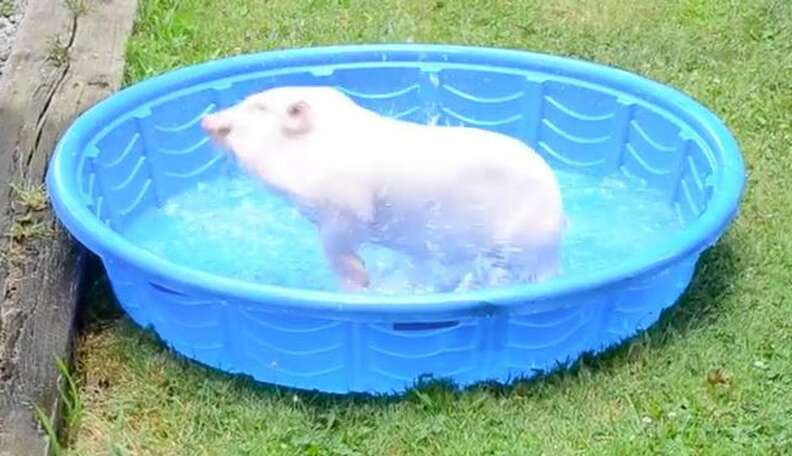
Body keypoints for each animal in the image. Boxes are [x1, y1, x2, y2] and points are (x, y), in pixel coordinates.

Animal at [200, 86, 565, 292]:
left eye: (259, 108)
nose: (205, 120)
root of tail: (559, 218)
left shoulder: (348, 208)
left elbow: (336, 247)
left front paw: (362, 284)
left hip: (522, 245)